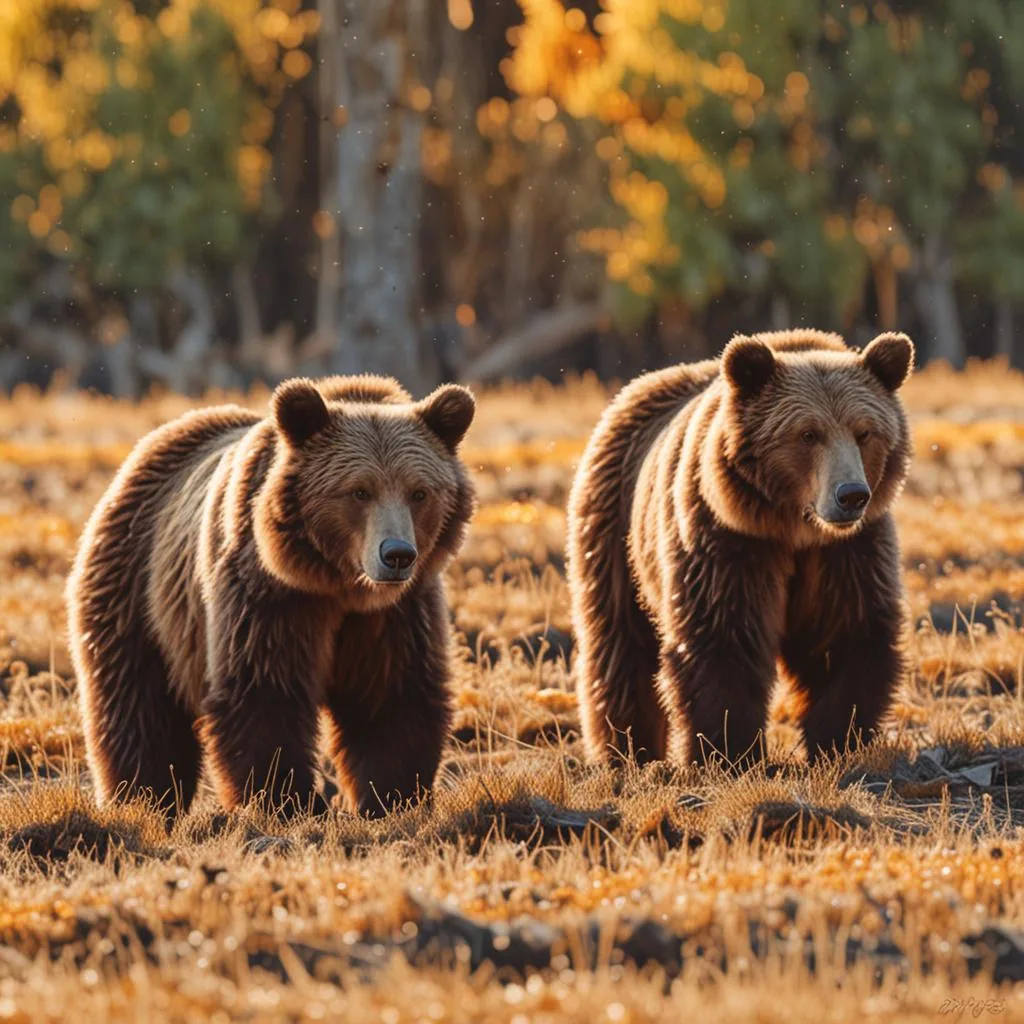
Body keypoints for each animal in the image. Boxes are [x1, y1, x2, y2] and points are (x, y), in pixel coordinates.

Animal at [66, 374, 476, 819]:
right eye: (358, 491)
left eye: (419, 492)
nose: (397, 554)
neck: (341, 586)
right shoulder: (269, 597)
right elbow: (264, 695)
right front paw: (287, 802)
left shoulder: (394, 615)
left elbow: (390, 697)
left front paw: (391, 798)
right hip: (137, 593)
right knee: (138, 709)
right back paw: (140, 799)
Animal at [566, 329, 914, 769]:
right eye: (807, 434)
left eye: (864, 432)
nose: (851, 495)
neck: (795, 529)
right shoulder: (729, 543)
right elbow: (722, 638)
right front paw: (730, 752)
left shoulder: (846, 554)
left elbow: (844, 636)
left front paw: (839, 741)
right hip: (615, 530)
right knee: (620, 645)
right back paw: (628, 749)